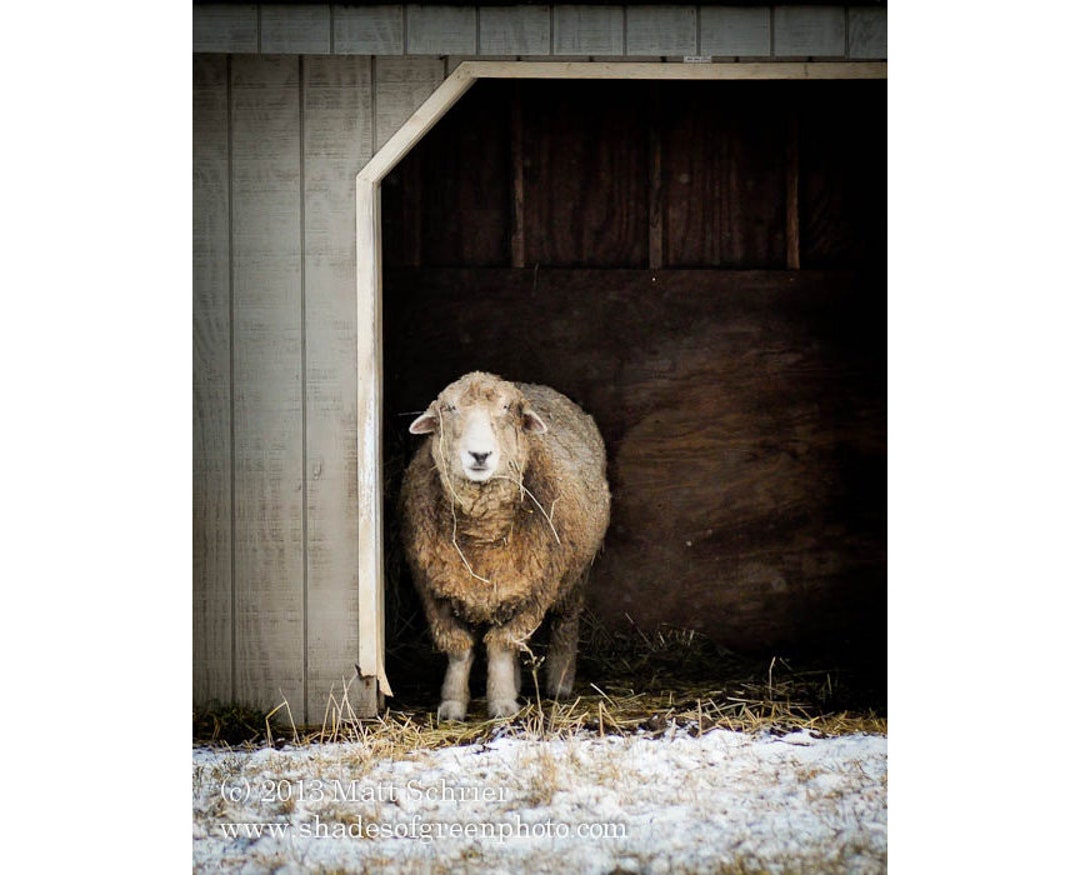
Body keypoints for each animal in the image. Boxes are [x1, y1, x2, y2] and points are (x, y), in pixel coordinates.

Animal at [400, 371, 611, 720]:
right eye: (450, 408)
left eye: (507, 409)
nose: (480, 455)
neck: (482, 537)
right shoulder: (433, 591)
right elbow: (460, 648)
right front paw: (453, 704)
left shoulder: (537, 591)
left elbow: (502, 644)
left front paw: (501, 704)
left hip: (576, 573)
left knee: (565, 624)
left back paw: (560, 682)